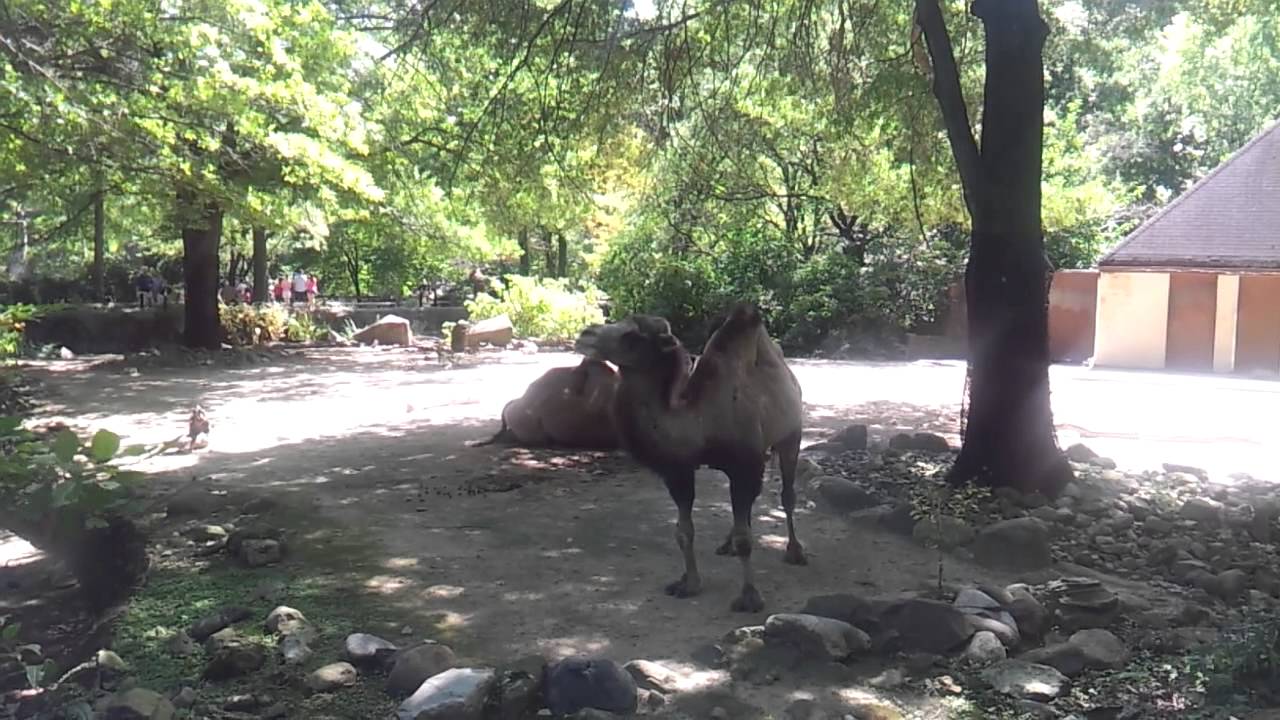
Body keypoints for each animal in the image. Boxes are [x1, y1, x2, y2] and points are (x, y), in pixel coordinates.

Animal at [574, 302, 805, 613]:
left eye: (631, 336)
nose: (584, 335)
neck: (698, 421)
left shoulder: (744, 465)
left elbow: (745, 539)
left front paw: (749, 597)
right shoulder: (679, 471)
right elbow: (684, 531)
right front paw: (689, 583)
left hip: (792, 433)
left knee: (787, 495)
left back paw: (795, 551)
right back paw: (726, 544)